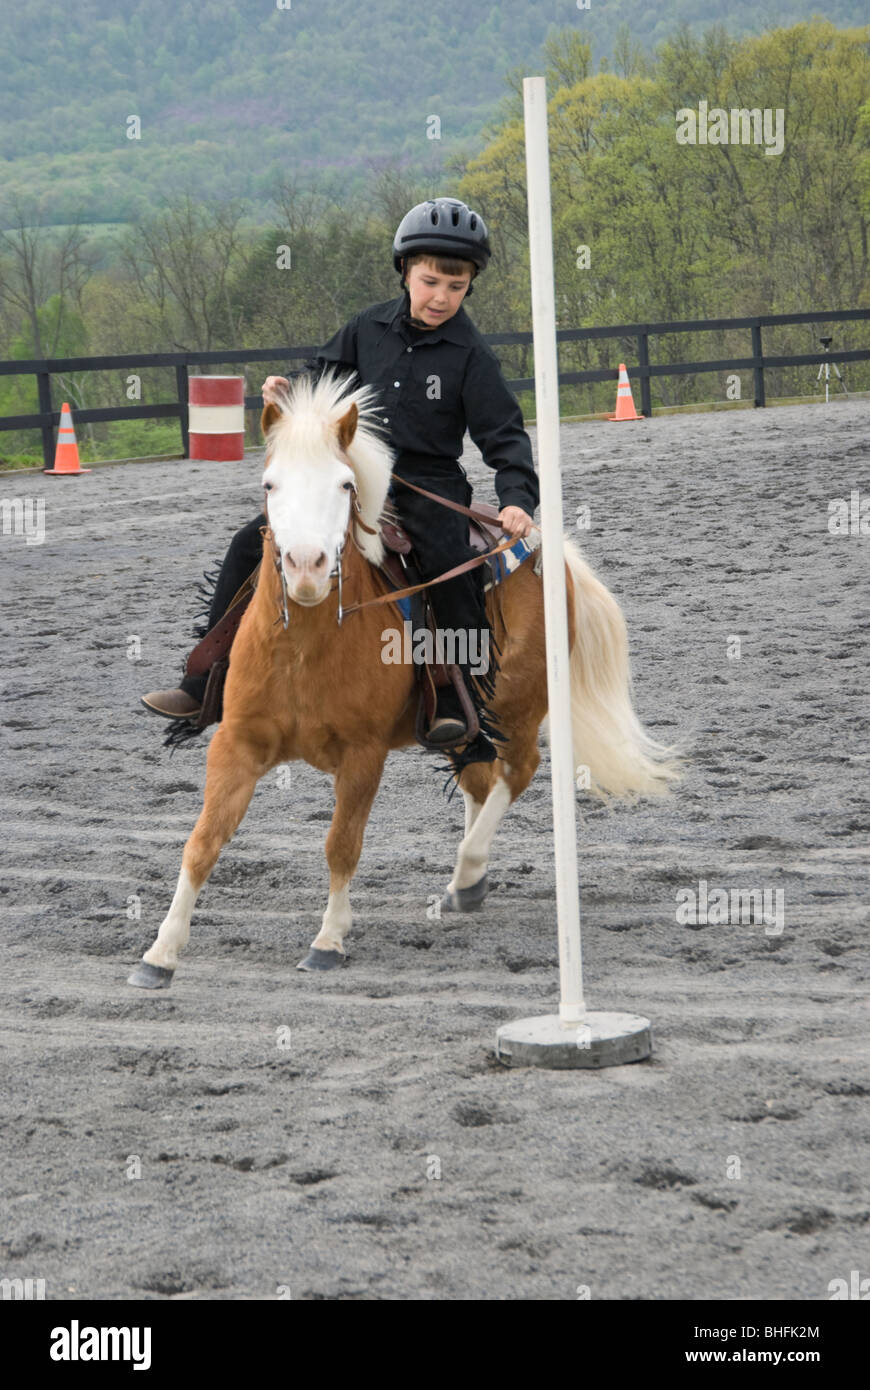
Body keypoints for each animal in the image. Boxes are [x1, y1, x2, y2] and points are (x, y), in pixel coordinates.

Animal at [128, 370, 678, 988]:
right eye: (270, 484)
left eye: (345, 484)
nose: (306, 567)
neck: (305, 649)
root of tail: (538, 545)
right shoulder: (236, 742)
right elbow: (202, 842)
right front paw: (160, 952)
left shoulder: (363, 755)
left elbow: (341, 845)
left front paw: (329, 940)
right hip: (470, 719)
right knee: (480, 777)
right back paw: (469, 882)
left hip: (517, 703)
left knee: (516, 772)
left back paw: (467, 869)